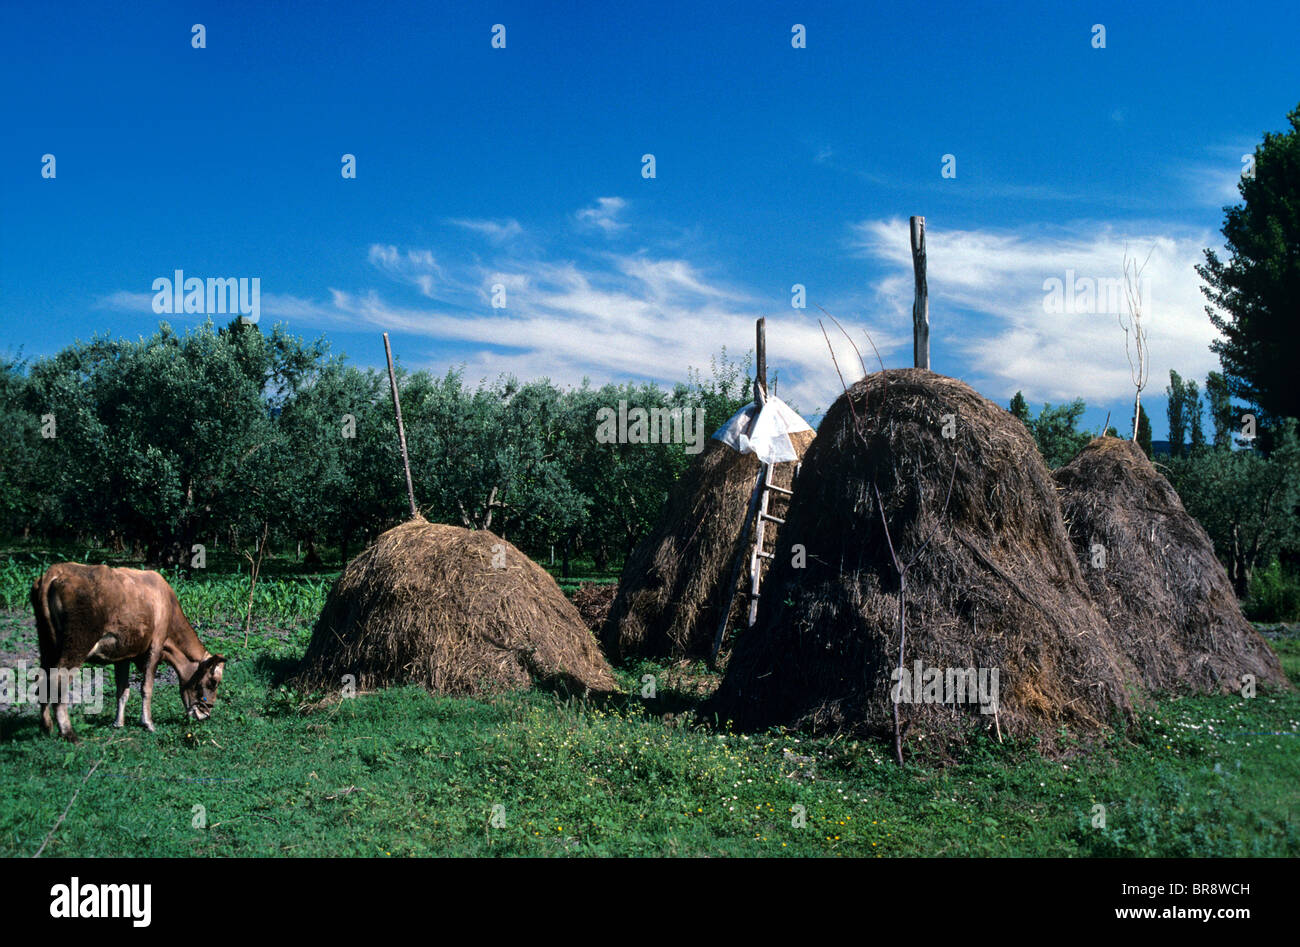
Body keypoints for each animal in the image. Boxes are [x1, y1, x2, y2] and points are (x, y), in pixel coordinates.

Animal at [30, 563, 225, 741]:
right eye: (213, 682)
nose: (206, 713)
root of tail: (55, 571)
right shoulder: (155, 646)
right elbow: (146, 687)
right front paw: (148, 723)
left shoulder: (123, 654)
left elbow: (122, 689)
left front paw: (118, 723)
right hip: (77, 644)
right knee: (58, 680)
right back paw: (68, 732)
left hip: (47, 644)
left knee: (42, 677)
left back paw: (47, 726)